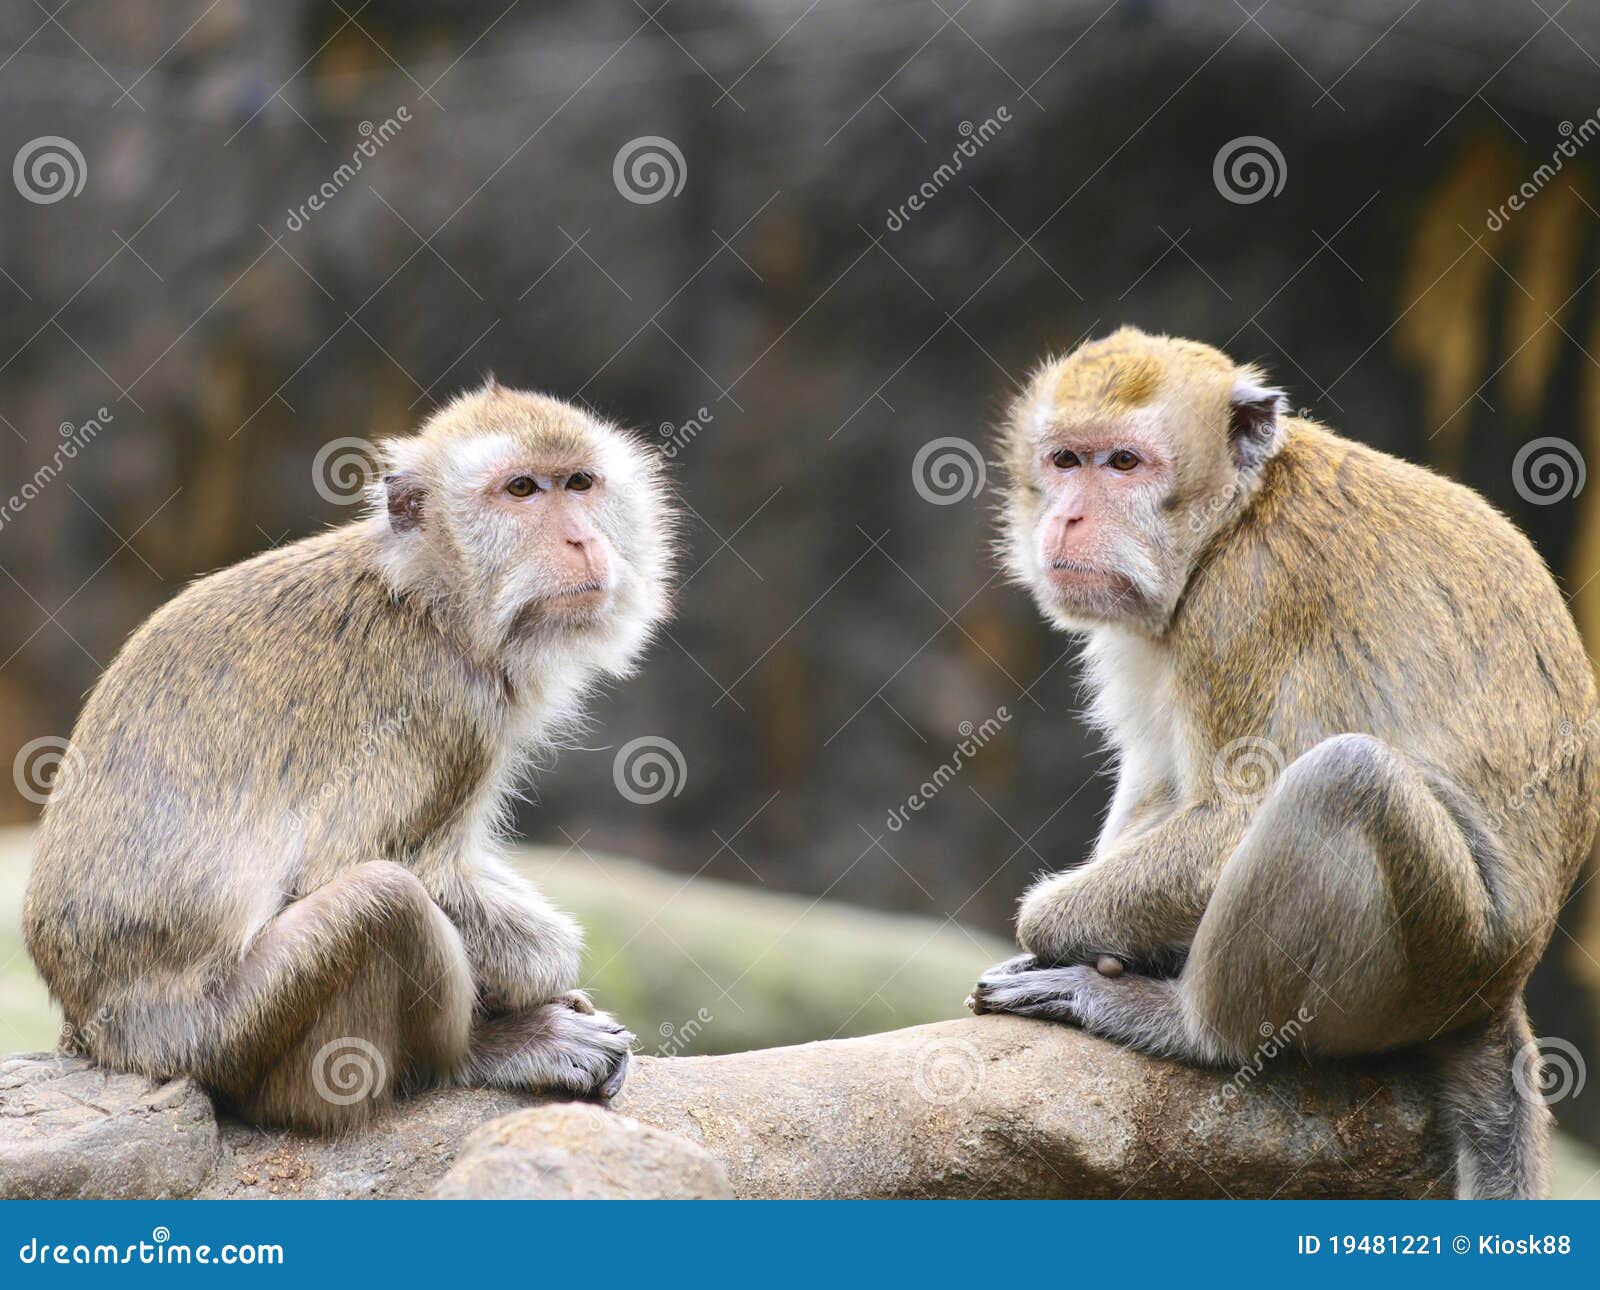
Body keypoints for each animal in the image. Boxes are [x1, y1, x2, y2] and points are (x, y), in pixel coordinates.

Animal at [23, 379, 677, 1132]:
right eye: (521, 489)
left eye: (579, 483)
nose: (582, 539)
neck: (428, 600)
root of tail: (96, 1032)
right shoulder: (442, 710)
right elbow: (350, 863)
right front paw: (546, 963)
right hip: (228, 1037)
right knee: (382, 900)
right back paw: (482, 1052)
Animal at [967, 326, 1598, 1199]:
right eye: (1065, 460)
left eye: (1124, 464)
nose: (1068, 517)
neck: (1232, 518)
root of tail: (1498, 986)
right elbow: (1160, 783)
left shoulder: (1243, 603)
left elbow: (1232, 816)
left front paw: (1048, 930)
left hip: (1431, 961)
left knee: (1346, 779)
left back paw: (1190, 1028)